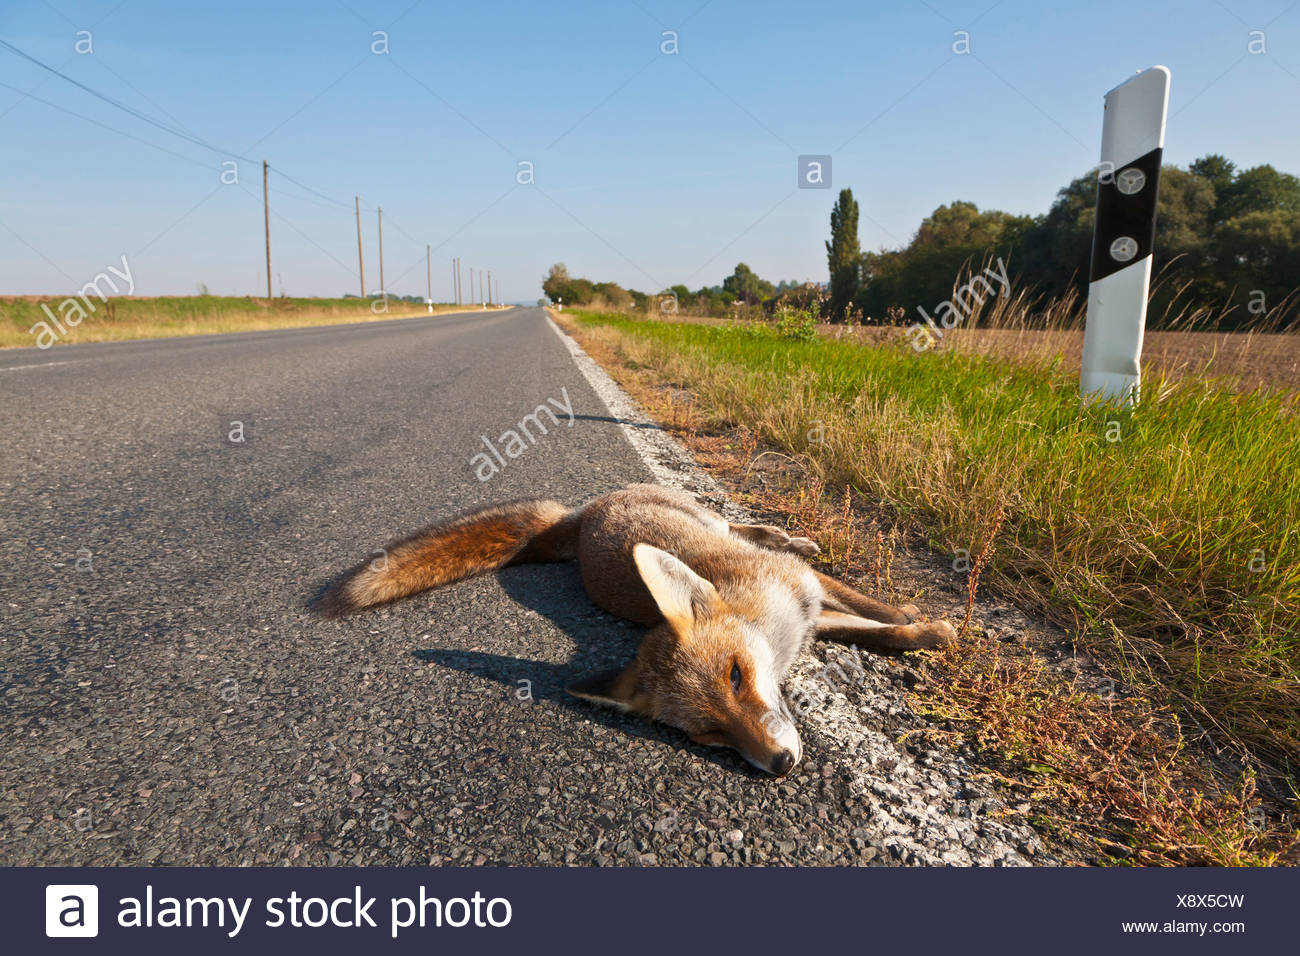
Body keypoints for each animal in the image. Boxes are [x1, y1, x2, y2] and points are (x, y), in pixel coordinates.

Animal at [322, 483, 956, 776]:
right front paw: (927, 631)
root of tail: (580, 521)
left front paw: (917, 621)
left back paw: (783, 533)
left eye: (736, 675)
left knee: (735, 524)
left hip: (700, 513)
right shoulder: (813, 617)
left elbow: (874, 615)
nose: (779, 765)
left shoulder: (811, 594)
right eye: (710, 735)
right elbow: (869, 631)